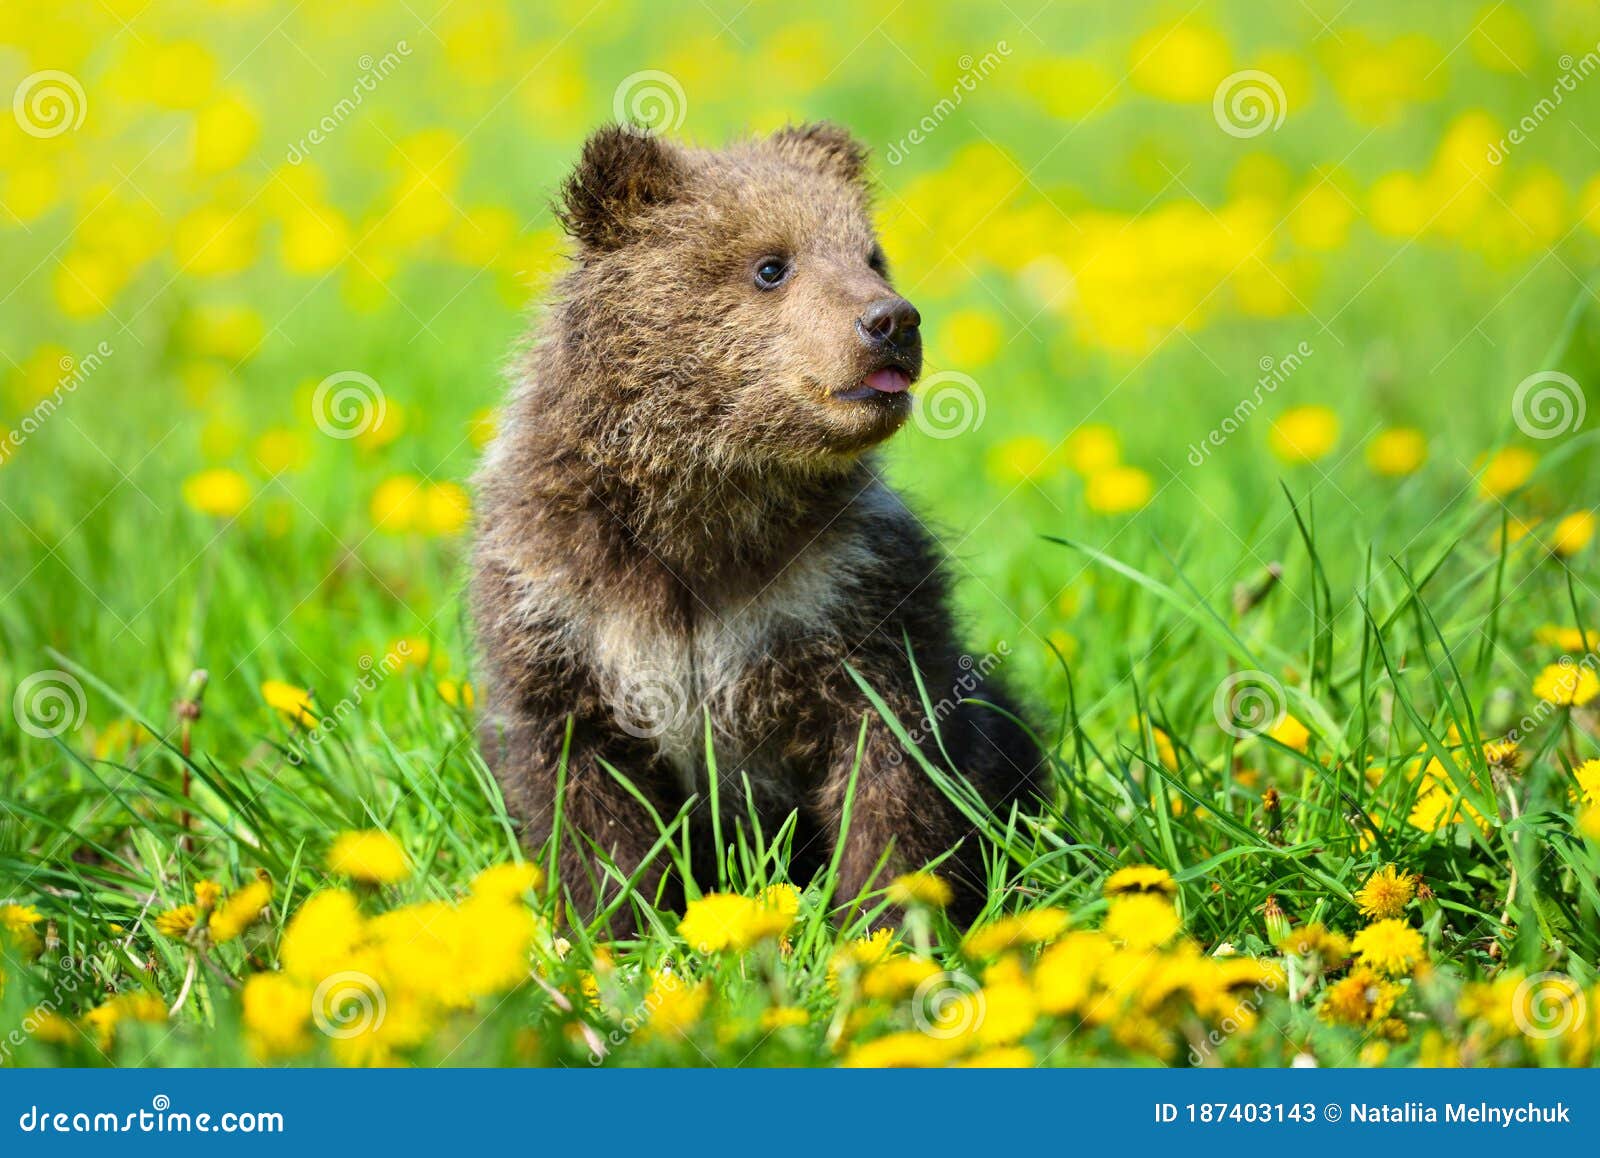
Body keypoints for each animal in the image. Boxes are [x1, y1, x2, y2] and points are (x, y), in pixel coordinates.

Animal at [472, 122, 1042, 933]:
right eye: (772, 265)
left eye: (870, 254)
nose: (892, 321)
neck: (707, 497)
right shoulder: (559, 602)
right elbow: (581, 788)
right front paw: (614, 925)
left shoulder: (844, 590)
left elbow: (893, 763)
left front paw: (881, 916)